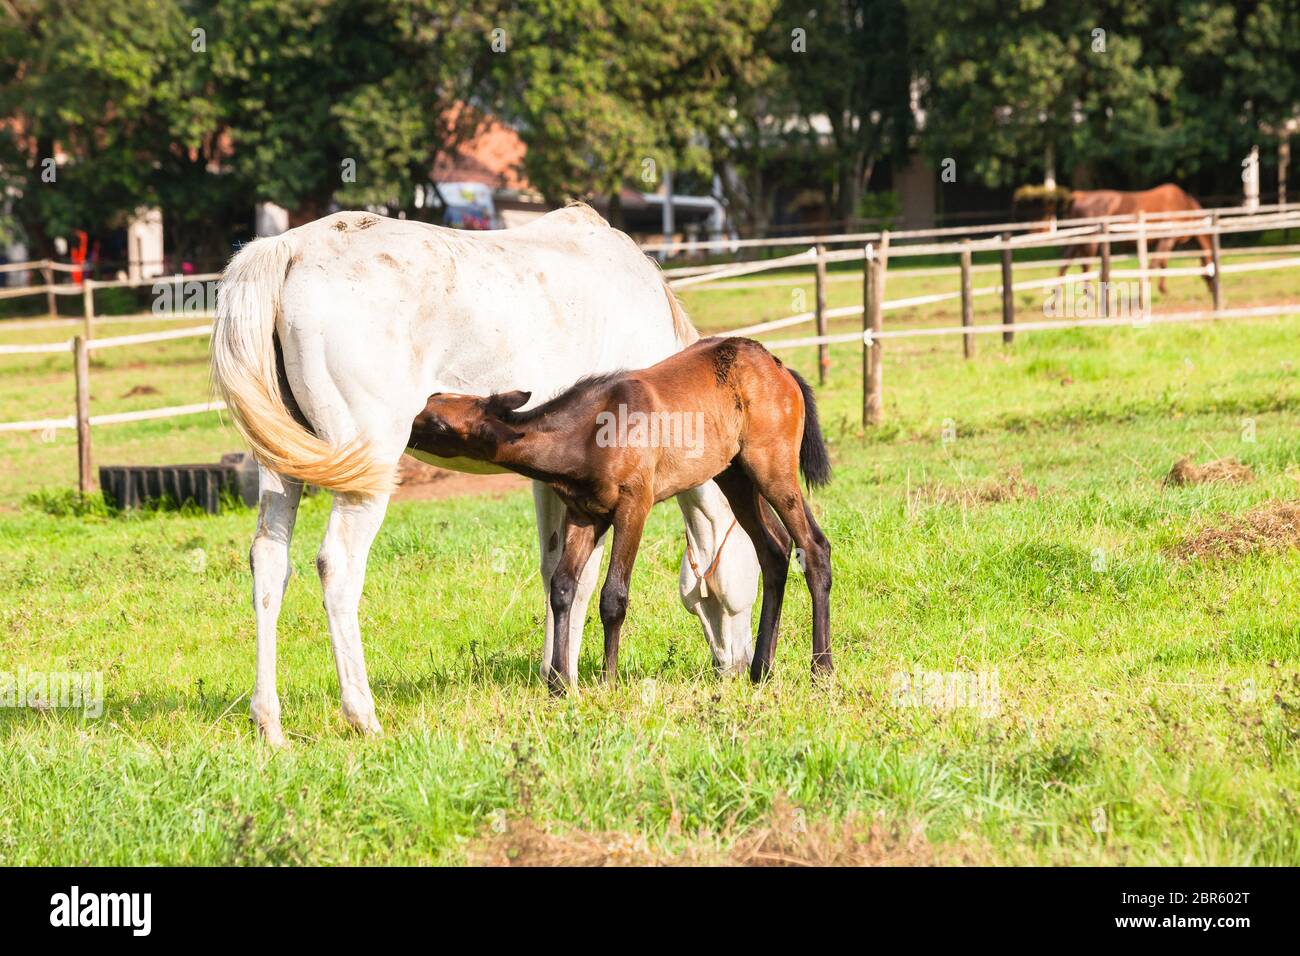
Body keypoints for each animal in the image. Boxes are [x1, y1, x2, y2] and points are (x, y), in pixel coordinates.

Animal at [210, 204, 760, 746]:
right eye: (755, 572)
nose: (736, 667)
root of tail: (290, 248)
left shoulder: (554, 484)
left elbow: (555, 571)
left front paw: (555, 677)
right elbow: (583, 582)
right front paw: (571, 681)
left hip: (282, 466)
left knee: (270, 563)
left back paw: (270, 723)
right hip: (367, 468)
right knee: (338, 567)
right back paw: (363, 715)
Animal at [408, 336, 833, 693]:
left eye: (438, 423)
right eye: (432, 398)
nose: (402, 429)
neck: (587, 436)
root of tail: (781, 369)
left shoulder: (634, 506)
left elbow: (613, 596)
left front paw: (607, 680)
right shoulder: (585, 515)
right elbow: (563, 587)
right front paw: (559, 683)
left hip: (772, 468)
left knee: (813, 546)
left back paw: (821, 669)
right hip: (735, 476)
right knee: (774, 549)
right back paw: (762, 670)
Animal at [1057, 184, 1214, 297]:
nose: (1212, 289)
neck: (1183, 205)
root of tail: (1079, 196)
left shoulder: (1167, 241)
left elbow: (1163, 263)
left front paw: (1163, 289)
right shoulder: (1166, 239)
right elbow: (1156, 263)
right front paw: (1145, 289)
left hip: (1076, 238)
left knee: (1065, 262)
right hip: (1091, 239)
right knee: (1085, 264)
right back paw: (1088, 293)